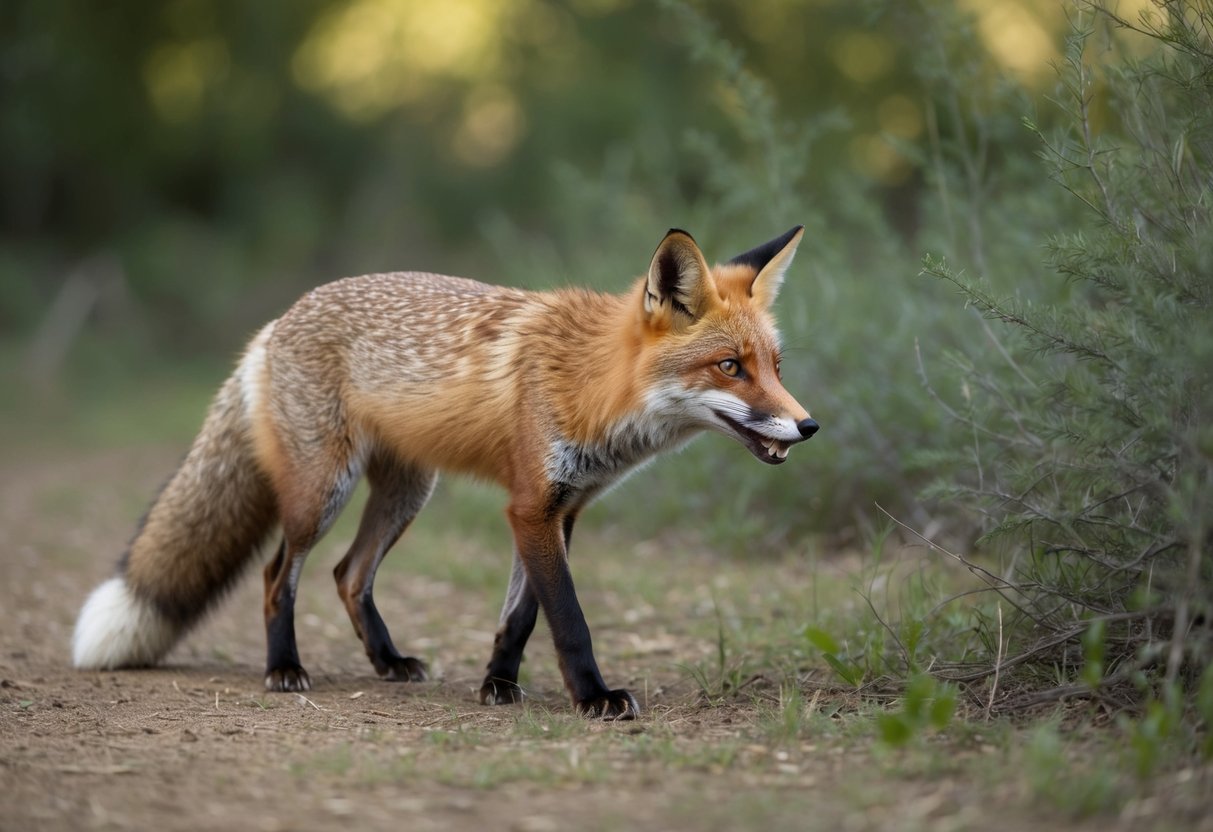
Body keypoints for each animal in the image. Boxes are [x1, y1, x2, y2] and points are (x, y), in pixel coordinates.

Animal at [71, 226, 818, 719]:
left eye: (776, 366)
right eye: (730, 366)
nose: (808, 426)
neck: (590, 384)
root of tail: (278, 320)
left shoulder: (560, 508)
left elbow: (520, 616)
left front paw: (498, 686)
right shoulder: (530, 506)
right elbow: (569, 618)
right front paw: (594, 697)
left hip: (407, 493)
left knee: (348, 575)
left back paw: (387, 662)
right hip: (322, 493)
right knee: (277, 575)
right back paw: (283, 667)